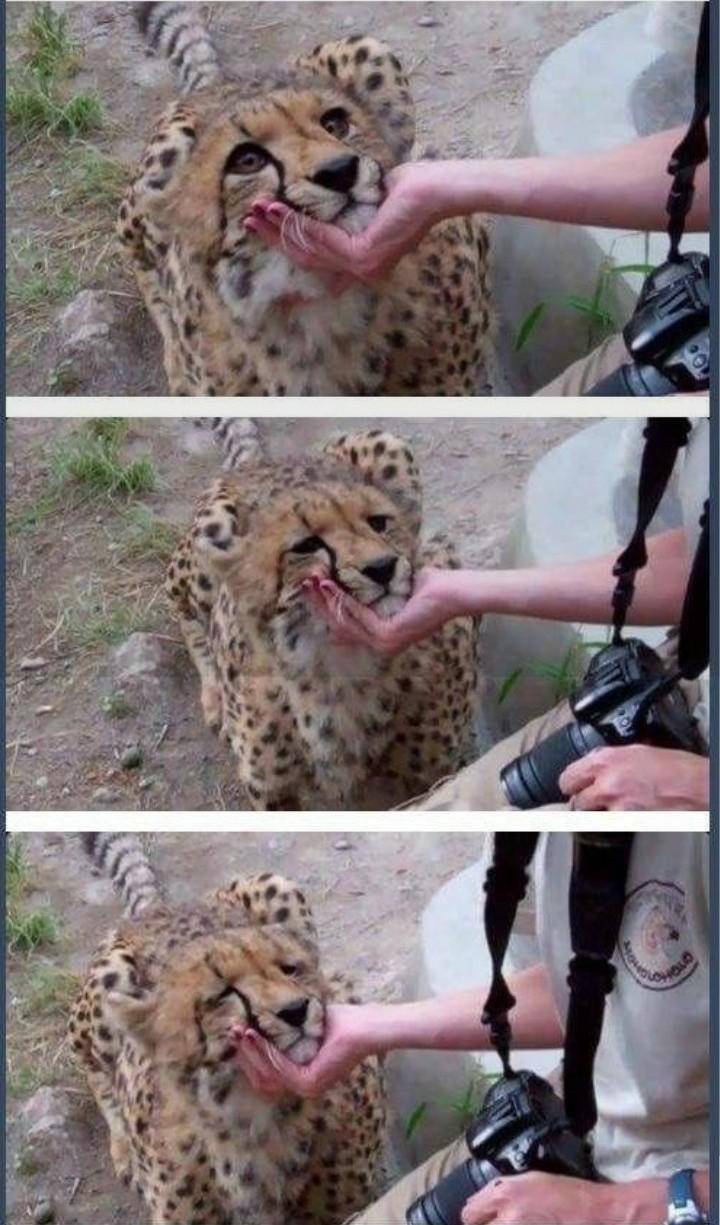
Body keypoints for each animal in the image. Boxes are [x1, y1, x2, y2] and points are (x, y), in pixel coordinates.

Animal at [69, 832, 386, 1225]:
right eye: (224, 993)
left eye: (290, 968)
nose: (296, 1011)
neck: (251, 1115)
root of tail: (159, 909)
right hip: (110, 983)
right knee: (92, 1067)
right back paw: (124, 1150)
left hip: (279, 887)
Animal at [166, 424, 479, 810]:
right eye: (306, 546)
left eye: (379, 522)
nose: (383, 568)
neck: (336, 667)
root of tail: (265, 462)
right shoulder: (271, 791)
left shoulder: (438, 774)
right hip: (211, 534)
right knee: (183, 607)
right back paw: (215, 699)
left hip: (386, 442)